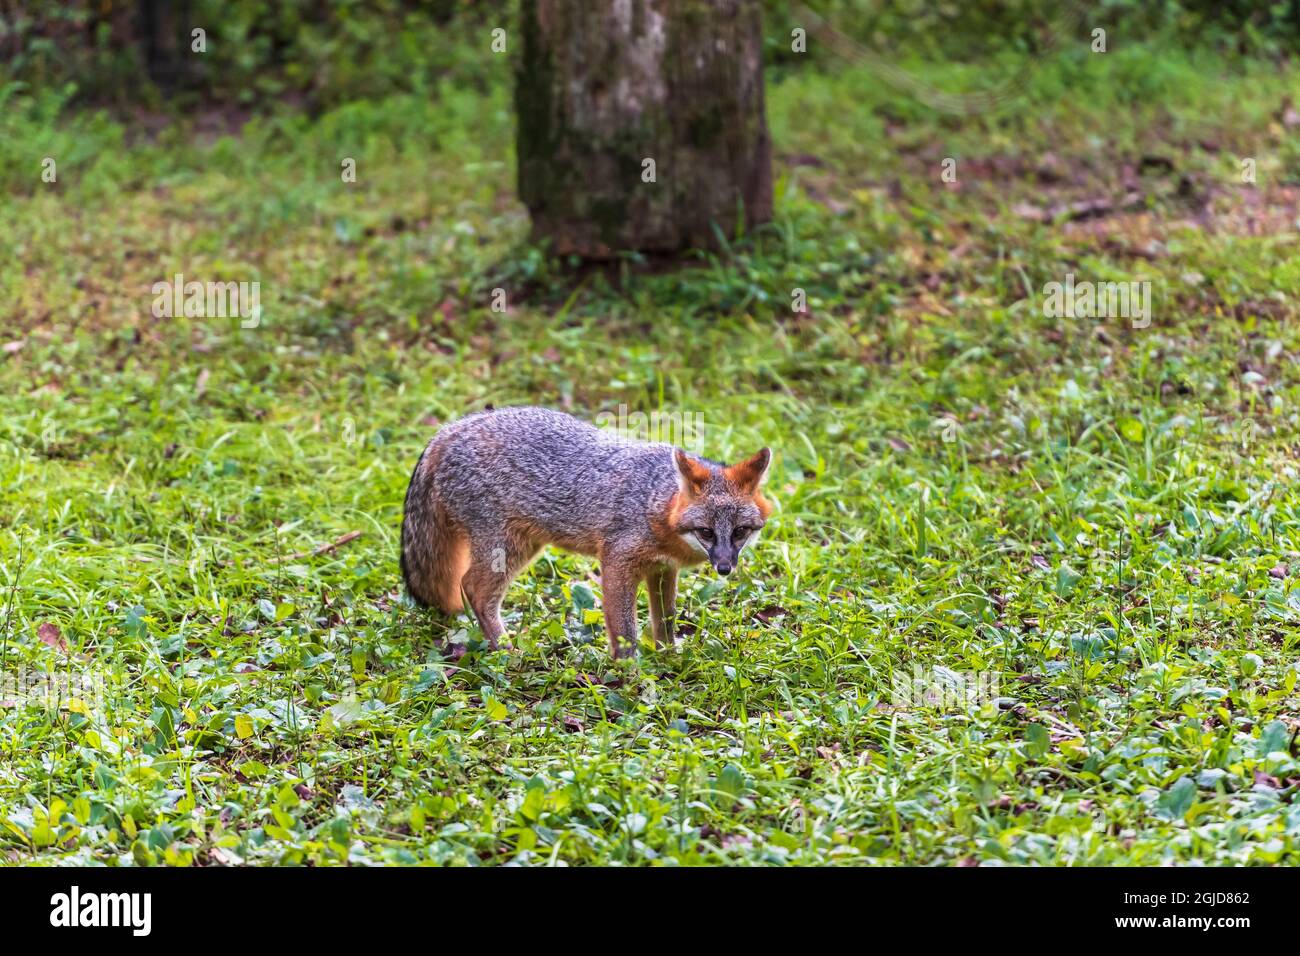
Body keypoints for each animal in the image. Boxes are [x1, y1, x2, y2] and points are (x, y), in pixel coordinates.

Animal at [400, 406, 772, 658]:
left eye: (740, 531)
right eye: (706, 532)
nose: (724, 567)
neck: (652, 501)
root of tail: (451, 428)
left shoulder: (662, 569)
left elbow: (664, 620)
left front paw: (668, 656)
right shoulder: (618, 561)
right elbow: (624, 629)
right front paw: (630, 672)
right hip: (505, 551)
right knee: (472, 588)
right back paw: (506, 650)